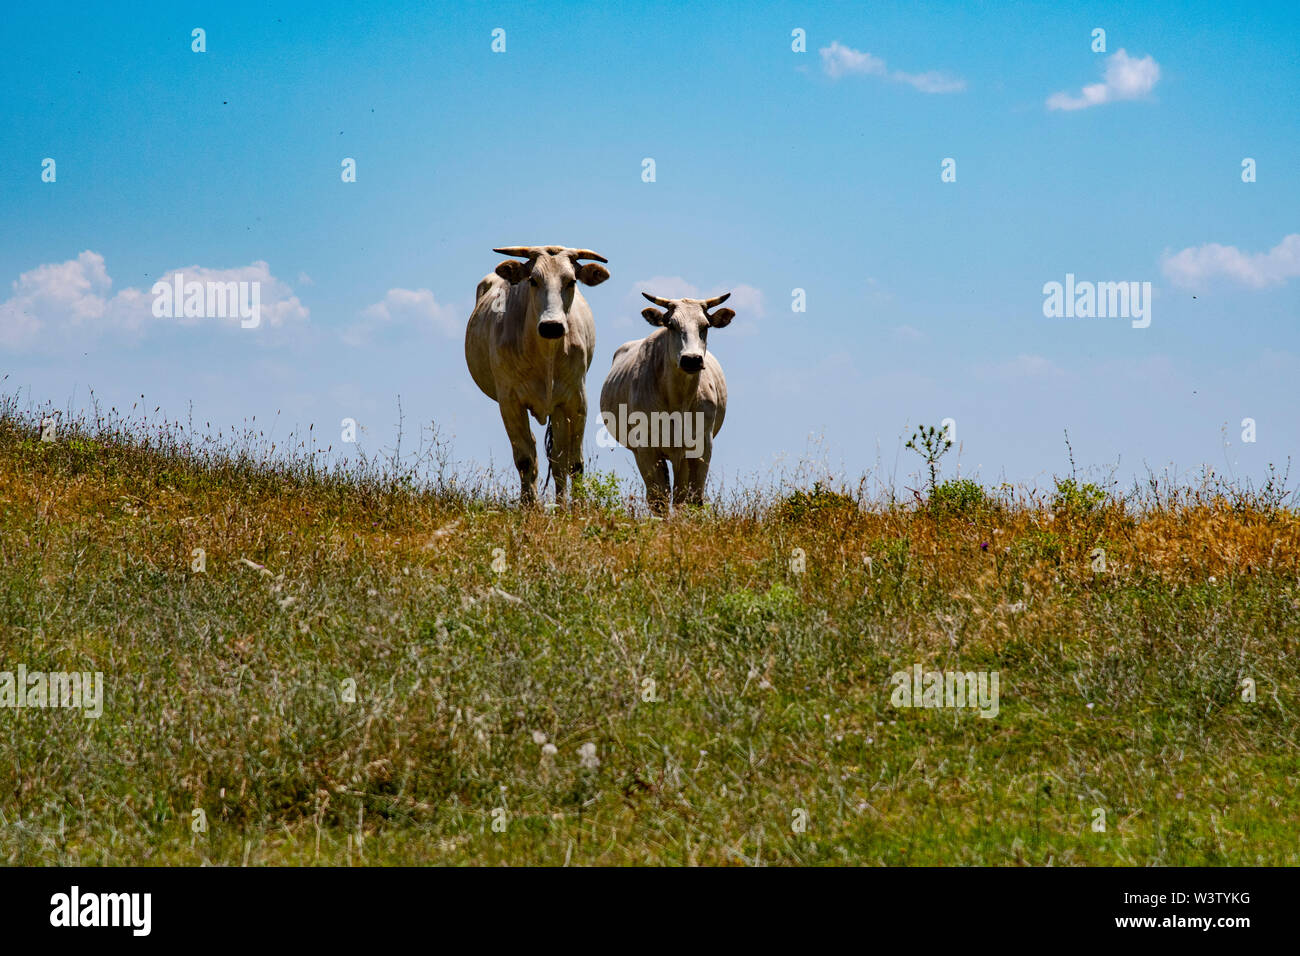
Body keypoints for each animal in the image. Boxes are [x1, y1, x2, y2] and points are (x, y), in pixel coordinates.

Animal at [465, 245, 610, 505]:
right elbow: (525, 460)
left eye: (572, 281)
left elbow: (572, 463)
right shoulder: (510, 402)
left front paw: (574, 508)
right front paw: (530, 507)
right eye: (533, 280)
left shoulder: (576, 401)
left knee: (560, 460)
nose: (552, 326)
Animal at [599, 291, 735, 514]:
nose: (691, 359)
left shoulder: (702, 445)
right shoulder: (646, 448)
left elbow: (693, 497)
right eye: (671, 325)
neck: (678, 401)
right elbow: (659, 499)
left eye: (705, 326)